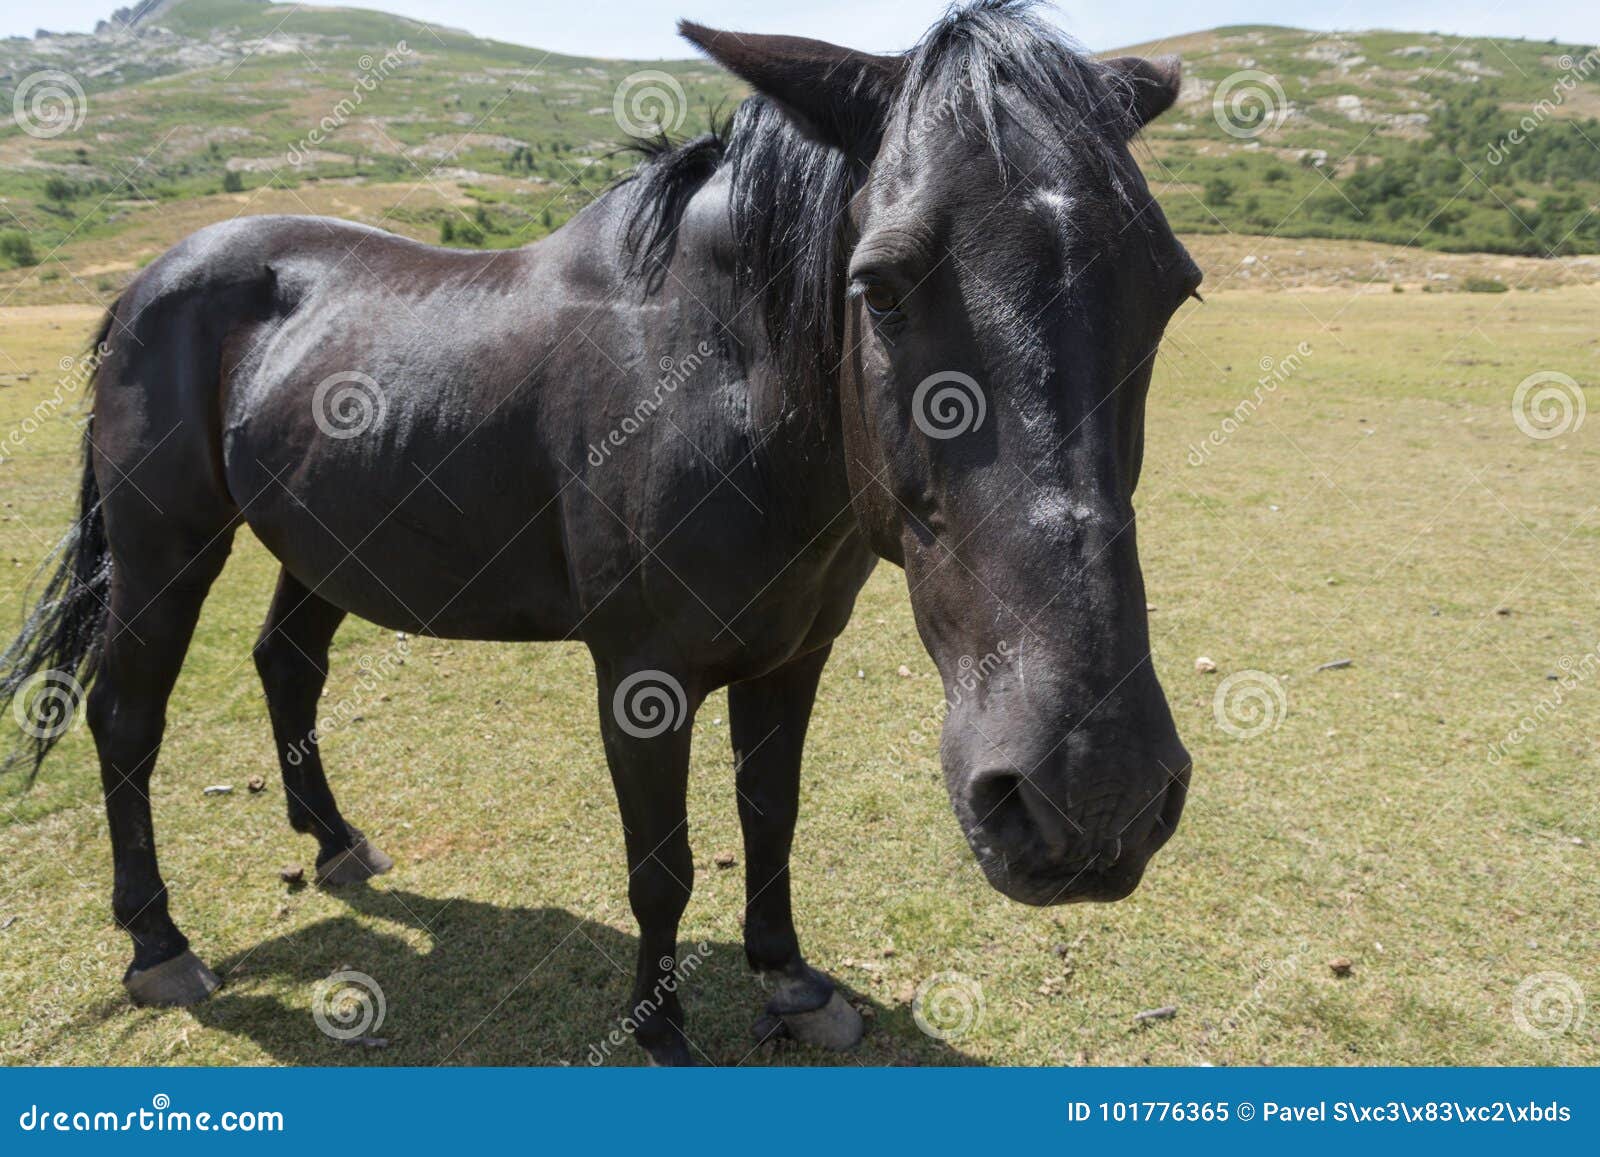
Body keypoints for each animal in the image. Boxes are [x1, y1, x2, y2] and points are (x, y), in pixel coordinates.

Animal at [0, 0, 1199, 1064]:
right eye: (883, 284)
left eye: (1172, 289)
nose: (1092, 794)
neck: (716, 386)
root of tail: (151, 278)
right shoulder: (642, 674)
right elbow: (661, 862)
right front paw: (660, 1027)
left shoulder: (792, 656)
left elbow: (770, 815)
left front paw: (789, 980)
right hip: (164, 547)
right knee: (125, 716)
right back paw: (158, 941)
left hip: (319, 546)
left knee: (285, 665)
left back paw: (336, 844)